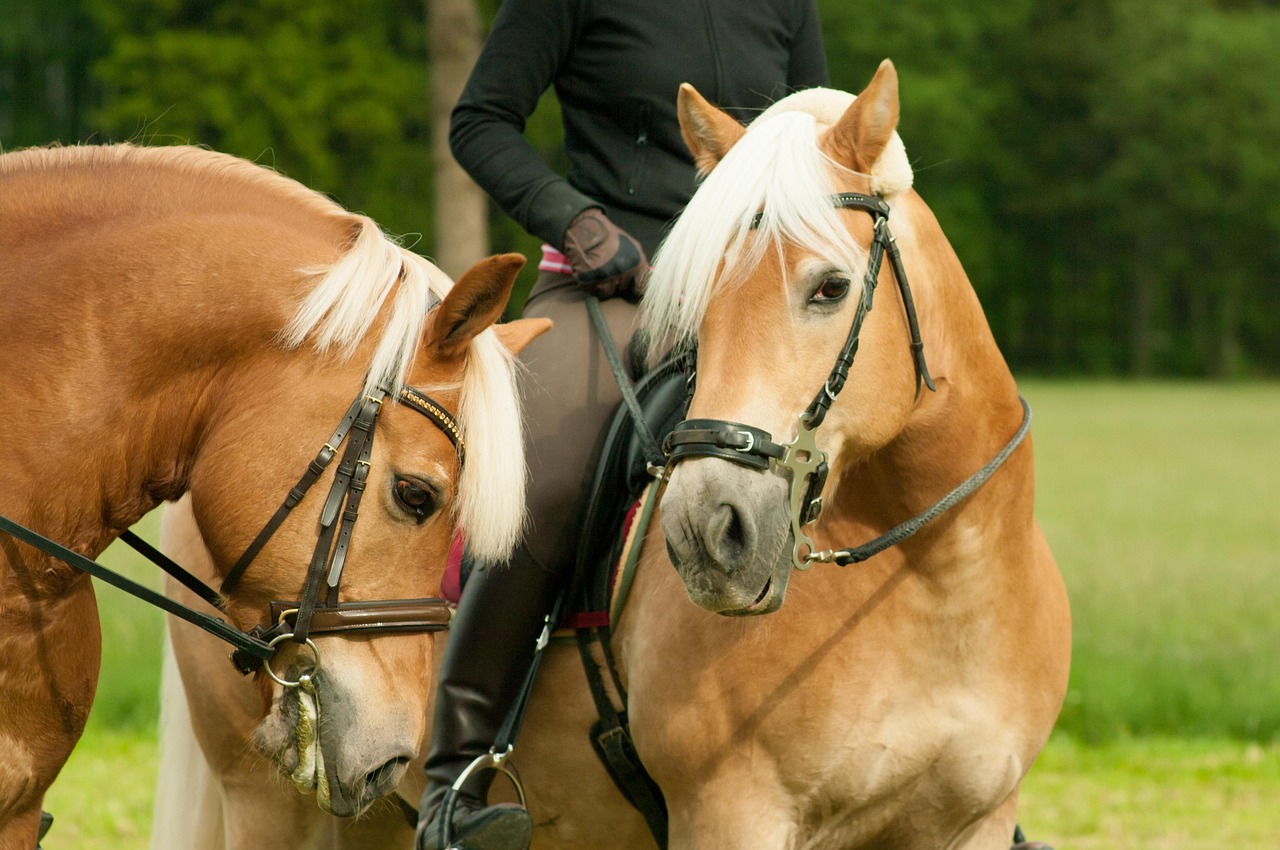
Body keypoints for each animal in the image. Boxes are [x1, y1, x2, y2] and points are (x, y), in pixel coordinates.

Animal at [151, 59, 1069, 850]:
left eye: (832, 286)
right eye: (693, 305)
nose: (710, 533)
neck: (935, 579)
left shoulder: (970, 824)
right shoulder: (733, 815)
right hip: (271, 799)